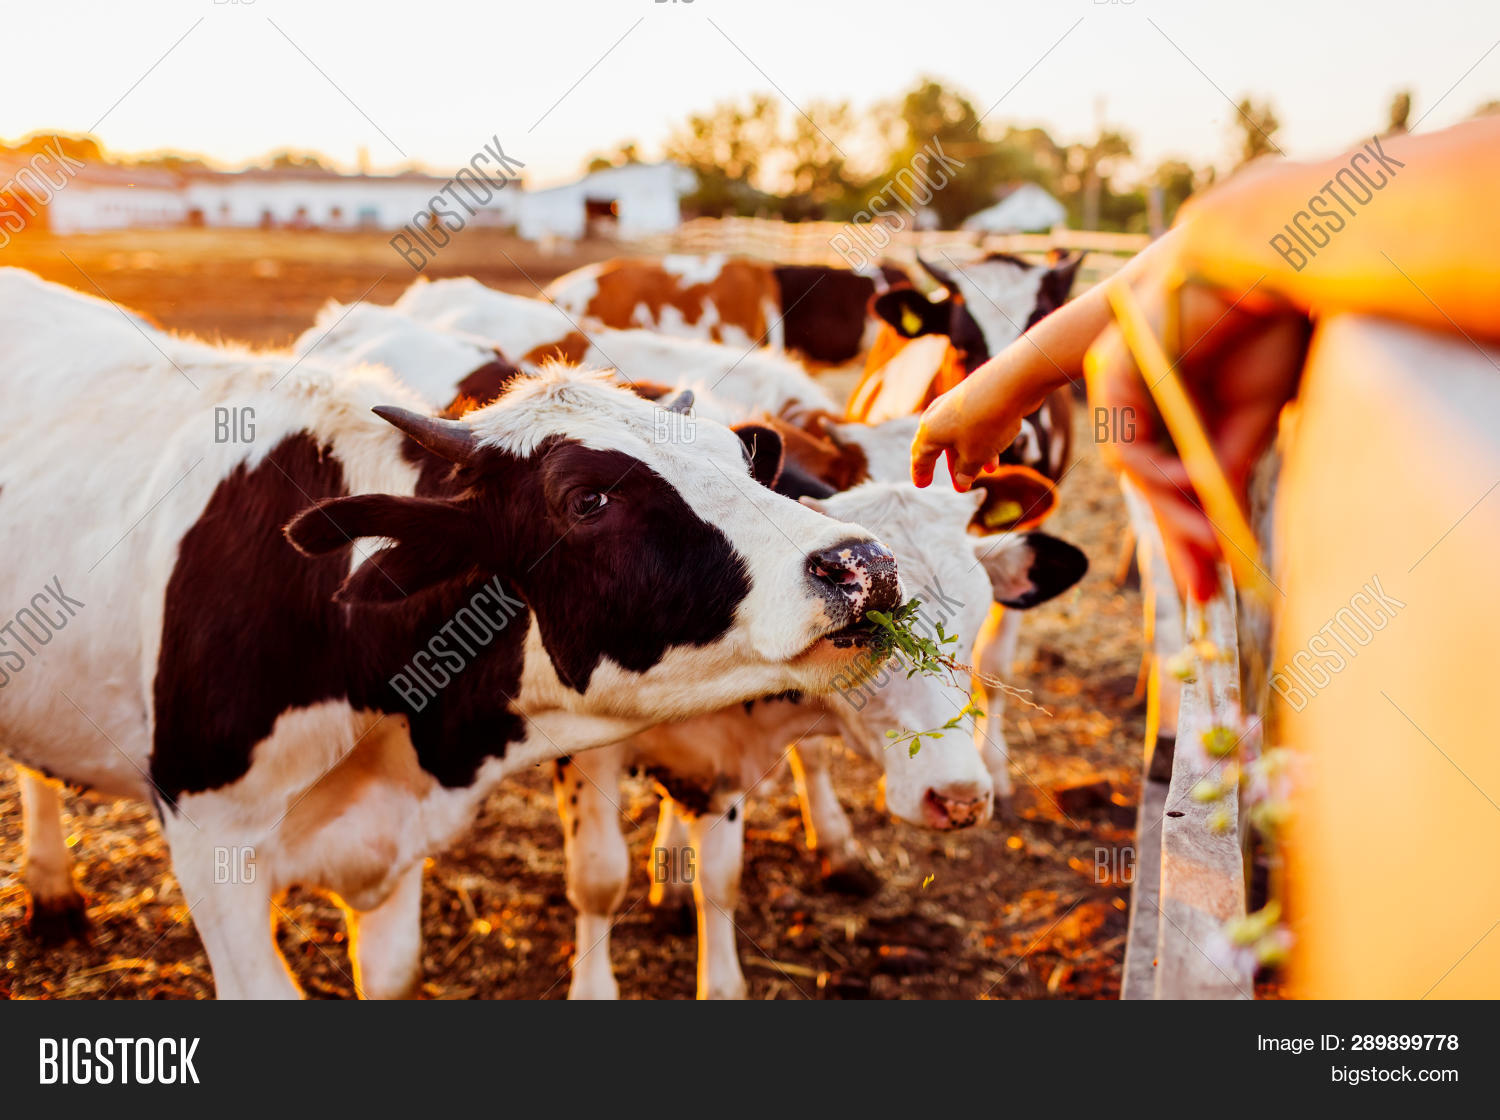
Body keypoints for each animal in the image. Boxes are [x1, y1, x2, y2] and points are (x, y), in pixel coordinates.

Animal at [0, 268, 902, 999]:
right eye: (586, 500)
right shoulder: (209, 845)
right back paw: (52, 890)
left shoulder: (397, 842)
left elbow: (390, 975)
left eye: (738, 457)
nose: (861, 562)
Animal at [555, 477, 1088, 998]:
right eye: (866, 631)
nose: (960, 798)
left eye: (975, 617)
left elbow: (719, 879)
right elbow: (598, 879)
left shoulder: (724, 766)